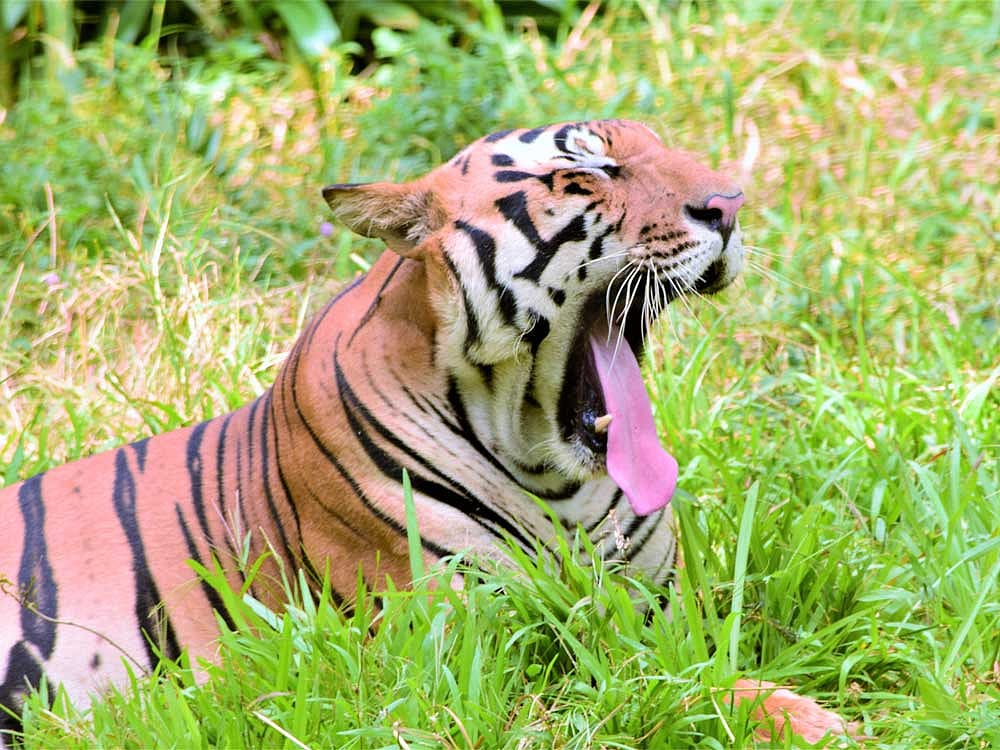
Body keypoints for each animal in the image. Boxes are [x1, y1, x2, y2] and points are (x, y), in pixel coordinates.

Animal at [1, 119, 851, 743]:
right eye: (582, 175)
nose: (729, 206)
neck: (552, 472)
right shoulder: (462, 652)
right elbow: (655, 682)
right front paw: (815, 723)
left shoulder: (660, 604)